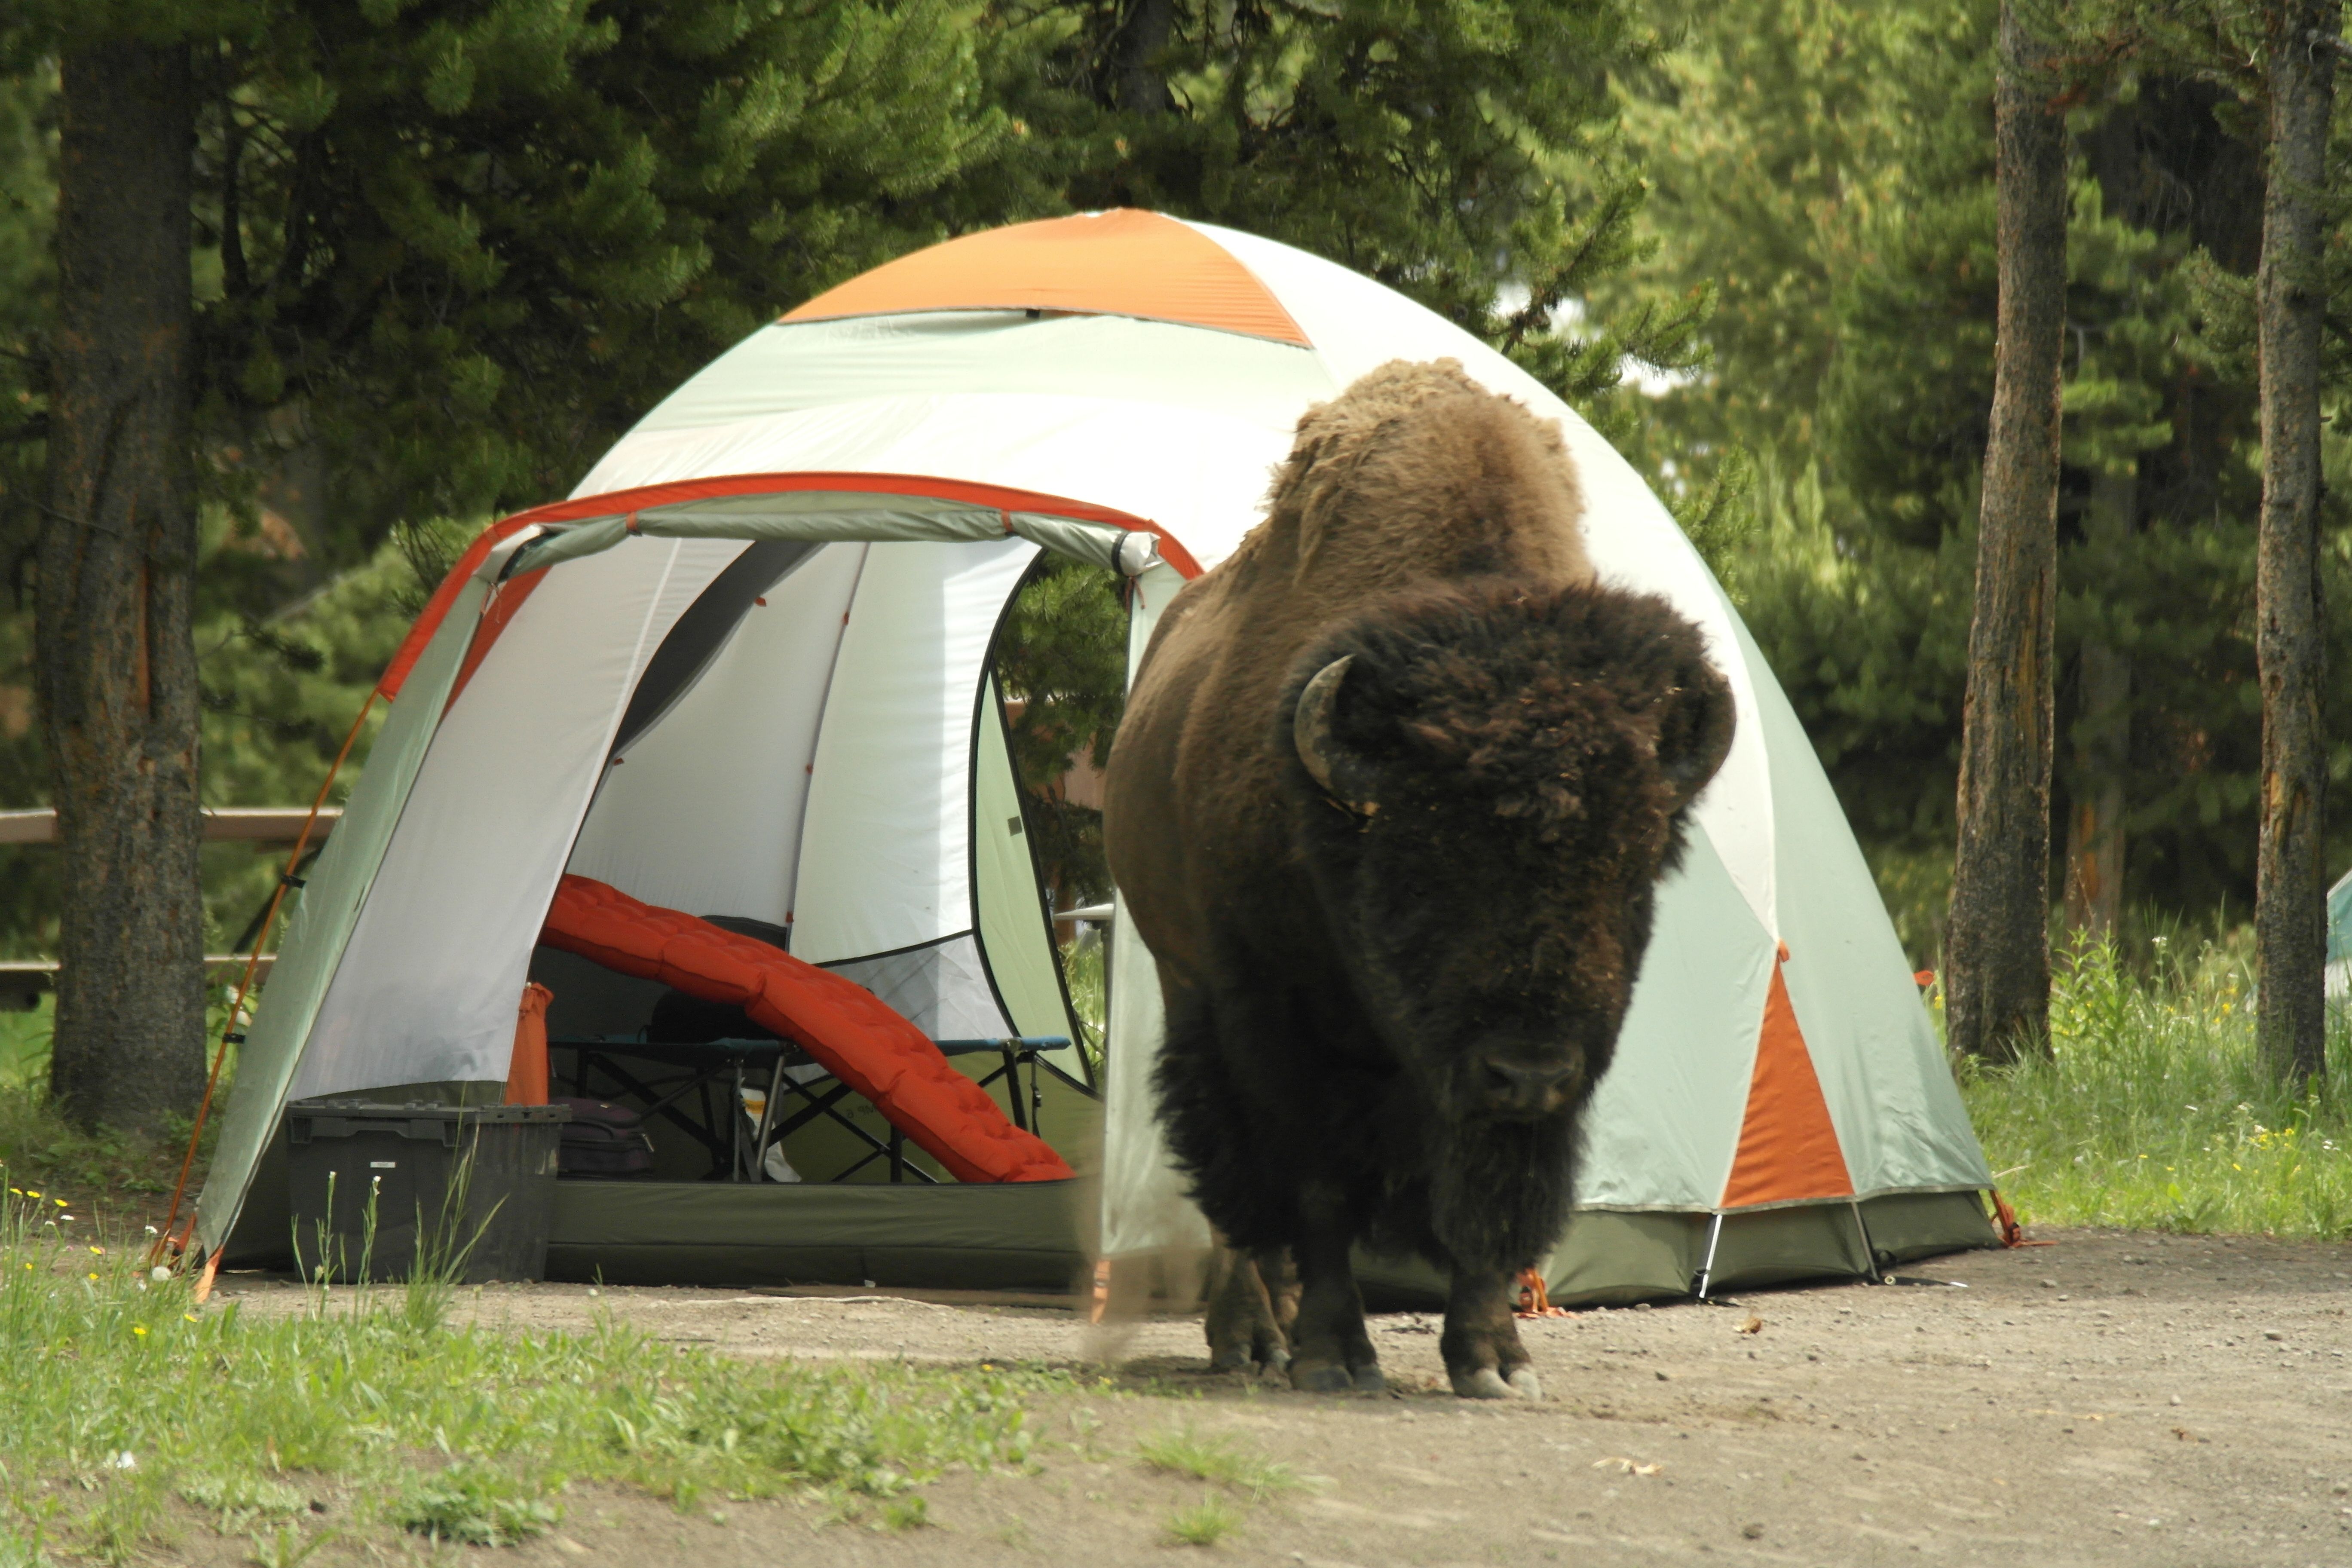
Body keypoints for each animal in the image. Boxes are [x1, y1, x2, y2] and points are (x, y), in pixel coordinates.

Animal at [1096, 359, 1731, 1401]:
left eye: (1636, 861)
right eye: (1429, 863)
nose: (1528, 1070)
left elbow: (1476, 1205)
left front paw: (1496, 1362)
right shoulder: (1280, 1024)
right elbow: (1314, 1189)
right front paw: (1332, 1356)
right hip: (1185, 983)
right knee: (1233, 1189)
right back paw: (1251, 1338)